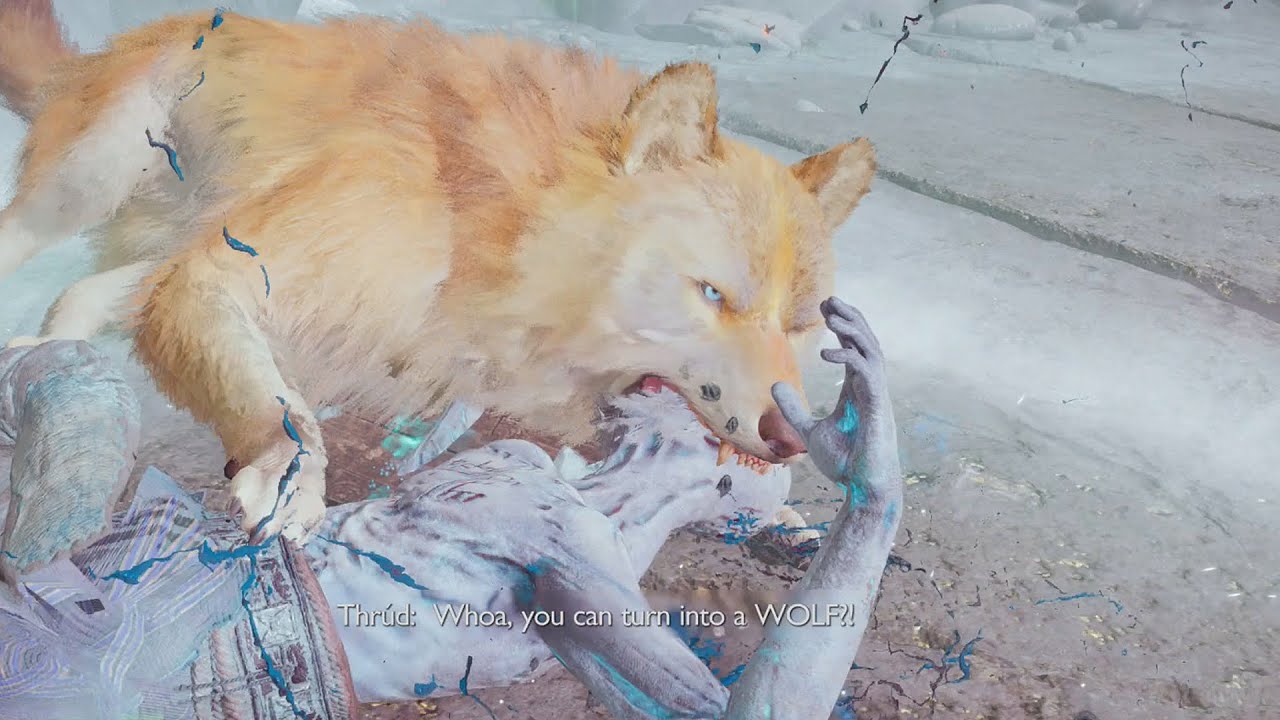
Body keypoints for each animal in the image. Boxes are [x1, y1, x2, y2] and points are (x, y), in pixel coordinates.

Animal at [0, 1, 878, 542]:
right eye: (715, 296)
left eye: (799, 323)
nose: (787, 437)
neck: (489, 218)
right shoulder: (217, 282)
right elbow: (281, 409)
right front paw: (289, 479)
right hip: (85, 184)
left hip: (162, 247)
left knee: (81, 294)